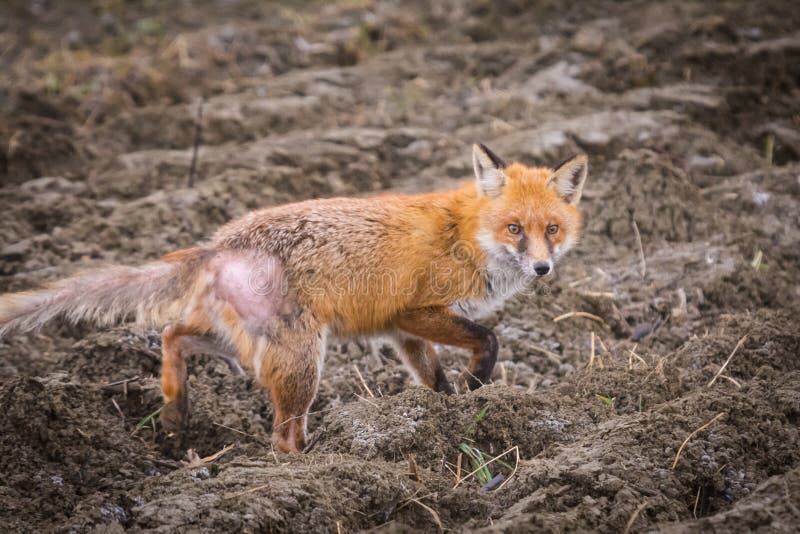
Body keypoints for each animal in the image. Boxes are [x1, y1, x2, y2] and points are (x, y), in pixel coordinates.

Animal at [0, 144, 588, 453]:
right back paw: (310, 467)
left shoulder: (402, 331)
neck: (465, 235)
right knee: (282, 437)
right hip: (304, 358)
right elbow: (488, 340)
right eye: (514, 228)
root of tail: (220, 243)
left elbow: (434, 380)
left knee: (172, 334)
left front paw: (448, 413)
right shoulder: (416, 311)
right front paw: (477, 388)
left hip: (244, 346)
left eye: (552, 229)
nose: (542, 267)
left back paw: (175, 411)